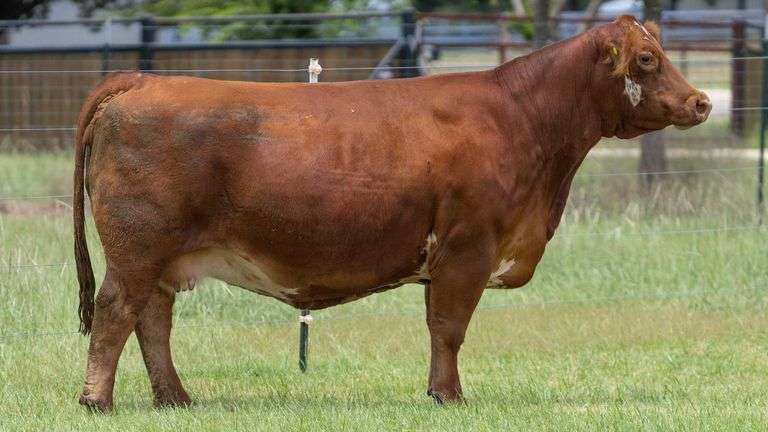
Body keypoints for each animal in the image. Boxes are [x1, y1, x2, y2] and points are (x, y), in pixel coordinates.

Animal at [73, 15, 710, 411]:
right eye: (647, 59)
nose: (701, 101)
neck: (523, 120)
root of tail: (141, 81)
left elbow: (440, 328)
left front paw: (439, 392)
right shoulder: (468, 247)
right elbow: (449, 327)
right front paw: (449, 396)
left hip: (162, 257)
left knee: (152, 320)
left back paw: (175, 399)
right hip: (138, 247)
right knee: (116, 311)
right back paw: (97, 401)